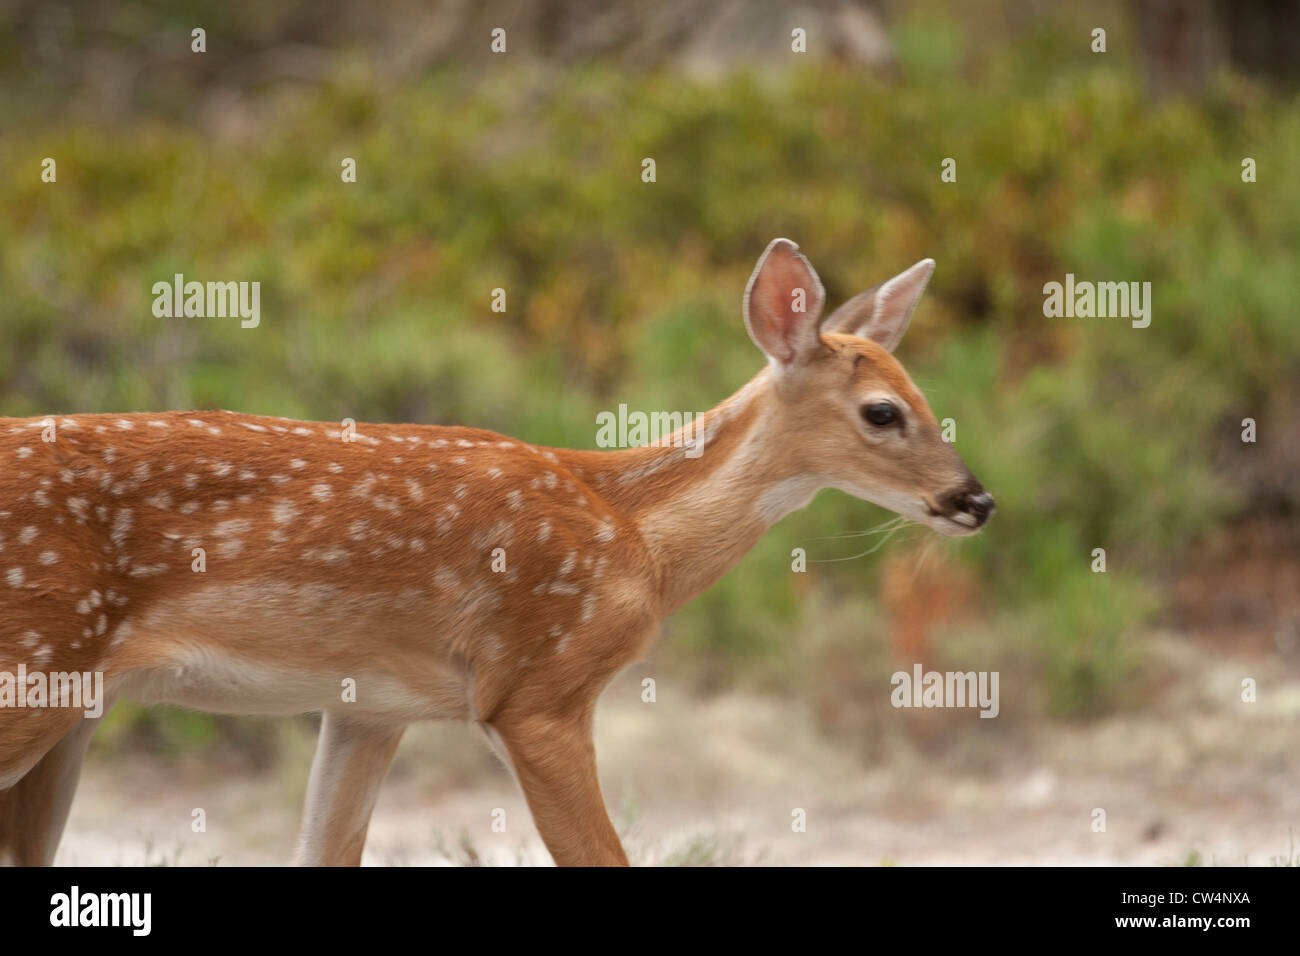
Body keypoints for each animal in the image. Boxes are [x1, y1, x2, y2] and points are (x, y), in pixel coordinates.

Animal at [0, 239, 993, 867]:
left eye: (924, 394)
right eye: (882, 412)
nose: (975, 500)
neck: (634, 534)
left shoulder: (369, 708)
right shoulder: (536, 688)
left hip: (72, 703)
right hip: (34, 663)